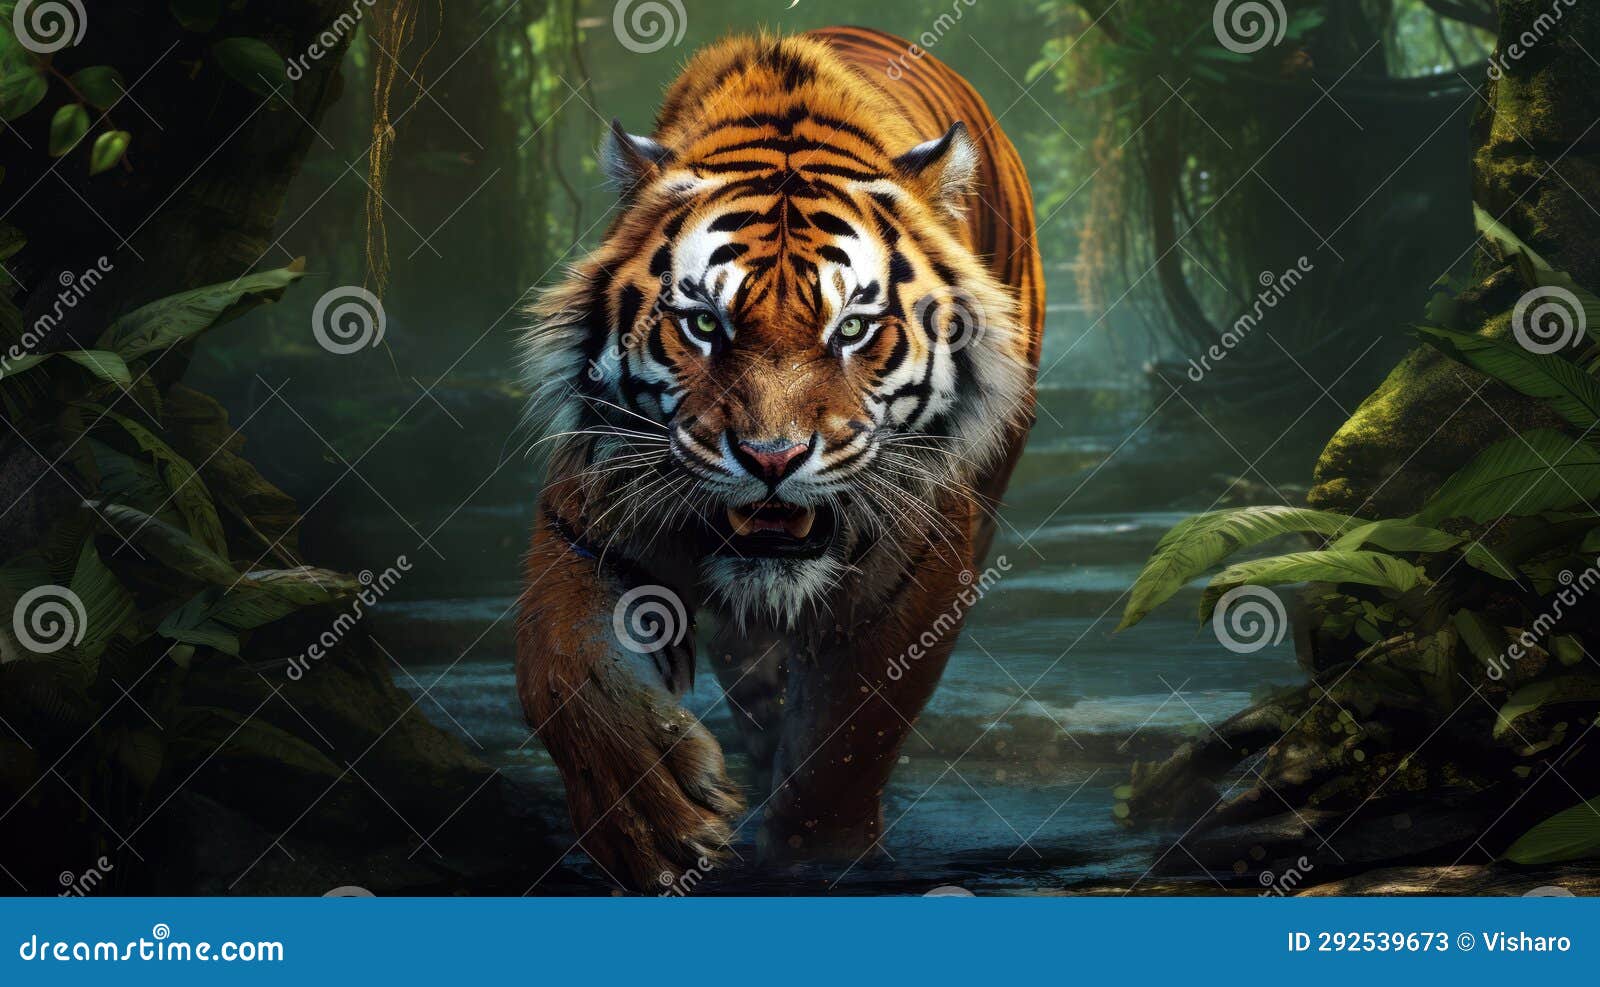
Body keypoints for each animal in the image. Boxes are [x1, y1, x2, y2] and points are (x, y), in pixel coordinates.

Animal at [515, 26, 1043, 890]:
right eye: (703, 323)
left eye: (853, 328)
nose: (772, 457)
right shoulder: (590, 508)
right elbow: (562, 665)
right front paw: (651, 821)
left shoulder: (919, 552)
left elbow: (846, 738)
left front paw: (816, 859)